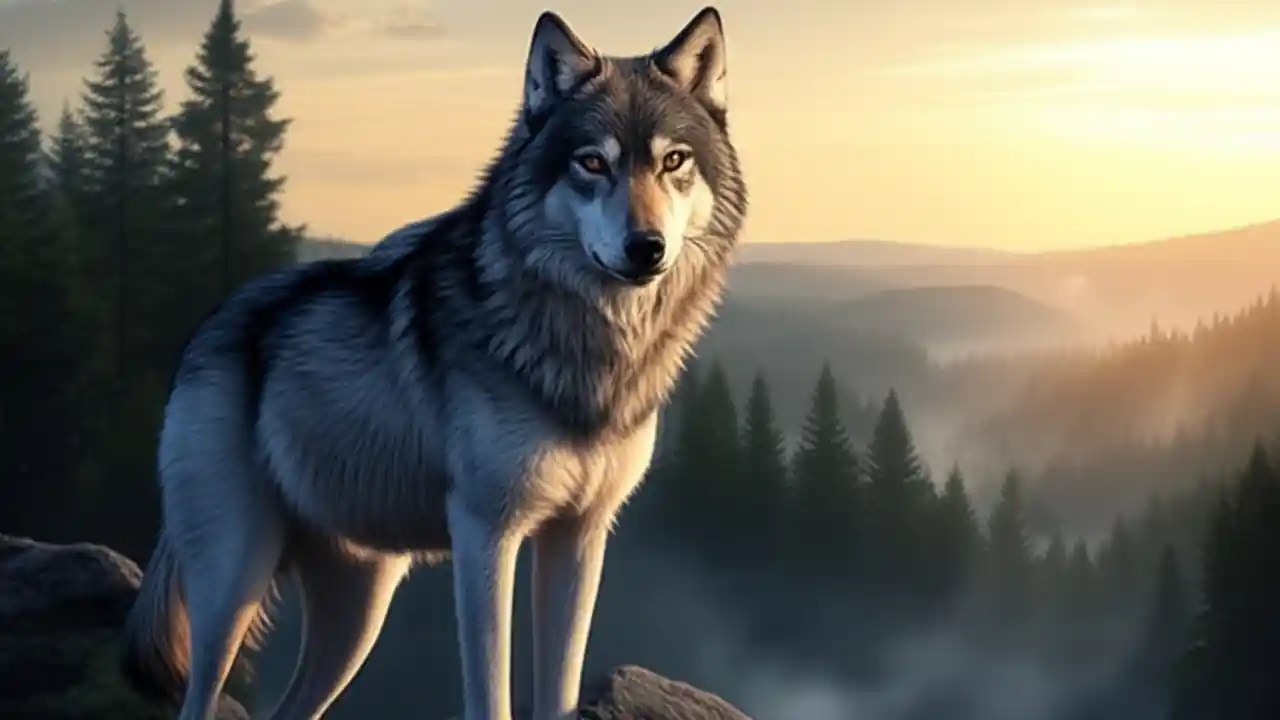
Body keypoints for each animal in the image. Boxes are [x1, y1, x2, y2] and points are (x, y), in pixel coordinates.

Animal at [120, 7, 745, 720]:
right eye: (593, 162)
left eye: (673, 161)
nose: (647, 247)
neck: (586, 349)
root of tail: (209, 324)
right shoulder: (485, 534)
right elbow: (490, 692)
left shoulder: (581, 537)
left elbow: (559, 686)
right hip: (234, 583)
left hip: (357, 615)